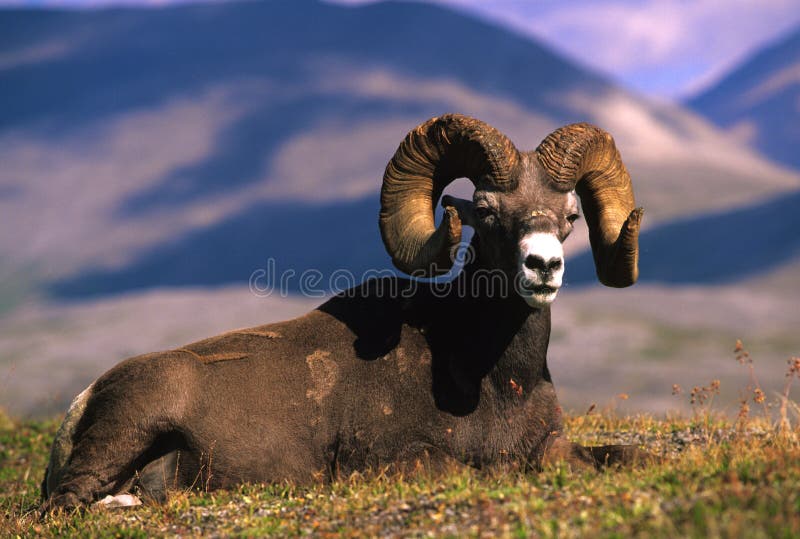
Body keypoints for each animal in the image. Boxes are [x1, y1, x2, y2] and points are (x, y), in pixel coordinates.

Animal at [41, 114, 649, 512]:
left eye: (570, 215)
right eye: (486, 210)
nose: (543, 266)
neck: (493, 378)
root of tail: (88, 397)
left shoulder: (554, 445)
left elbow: (624, 457)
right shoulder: (395, 461)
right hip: (133, 424)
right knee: (67, 504)